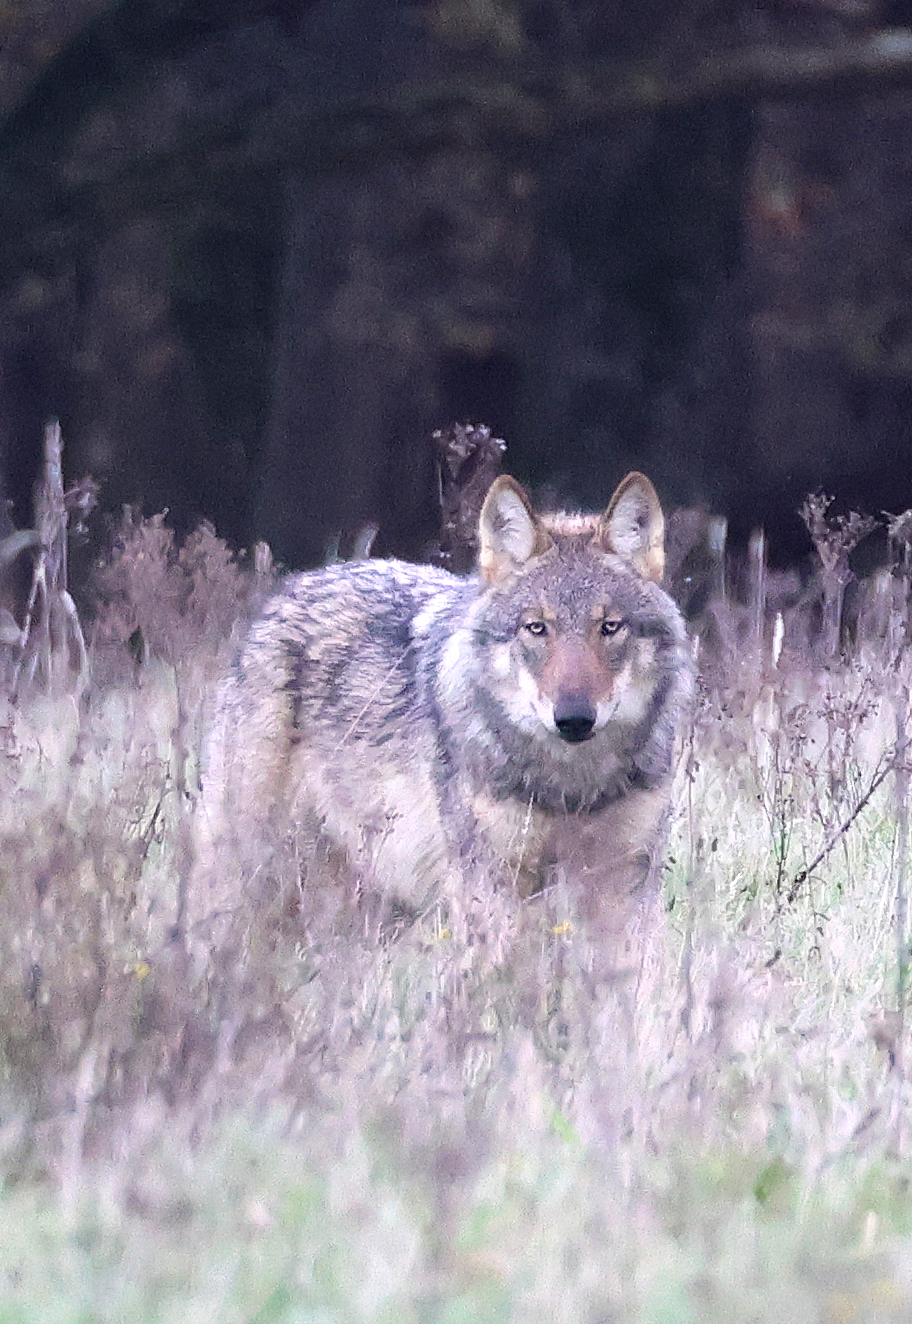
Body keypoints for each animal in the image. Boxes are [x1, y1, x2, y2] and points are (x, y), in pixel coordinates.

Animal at [191, 472, 692, 939]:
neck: (572, 787)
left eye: (609, 627)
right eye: (536, 628)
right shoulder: (490, 886)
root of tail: (294, 586)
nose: (573, 719)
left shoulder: (626, 889)